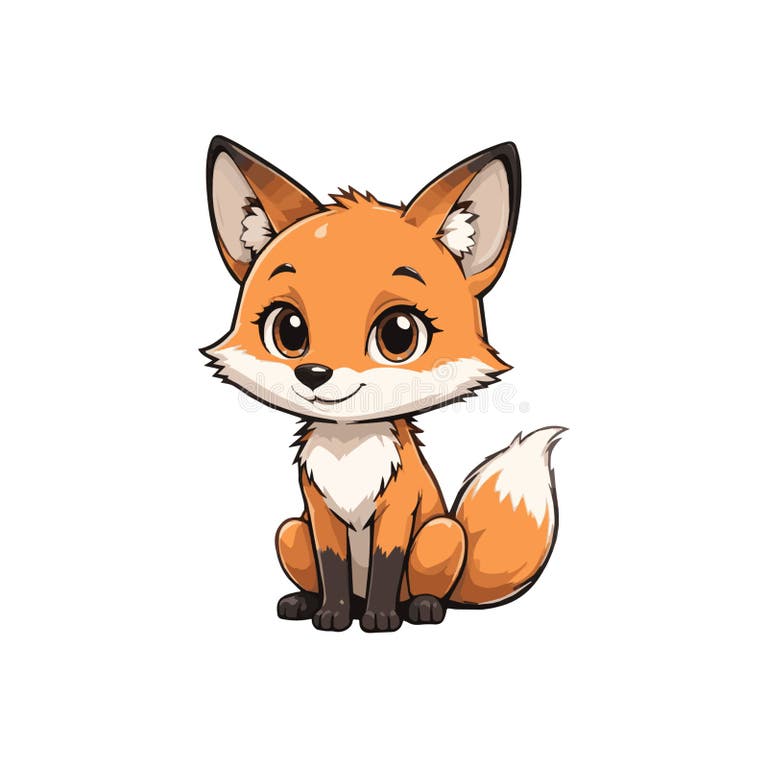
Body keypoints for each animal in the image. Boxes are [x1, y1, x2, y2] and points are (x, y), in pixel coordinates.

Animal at [202, 136, 565, 632]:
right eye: (289, 330)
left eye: (398, 334)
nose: (313, 374)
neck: (348, 449)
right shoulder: (318, 512)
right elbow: (332, 567)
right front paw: (333, 615)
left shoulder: (398, 508)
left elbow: (386, 567)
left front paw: (379, 617)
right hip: (290, 531)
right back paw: (304, 602)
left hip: (439, 533)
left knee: (429, 589)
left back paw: (422, 607)